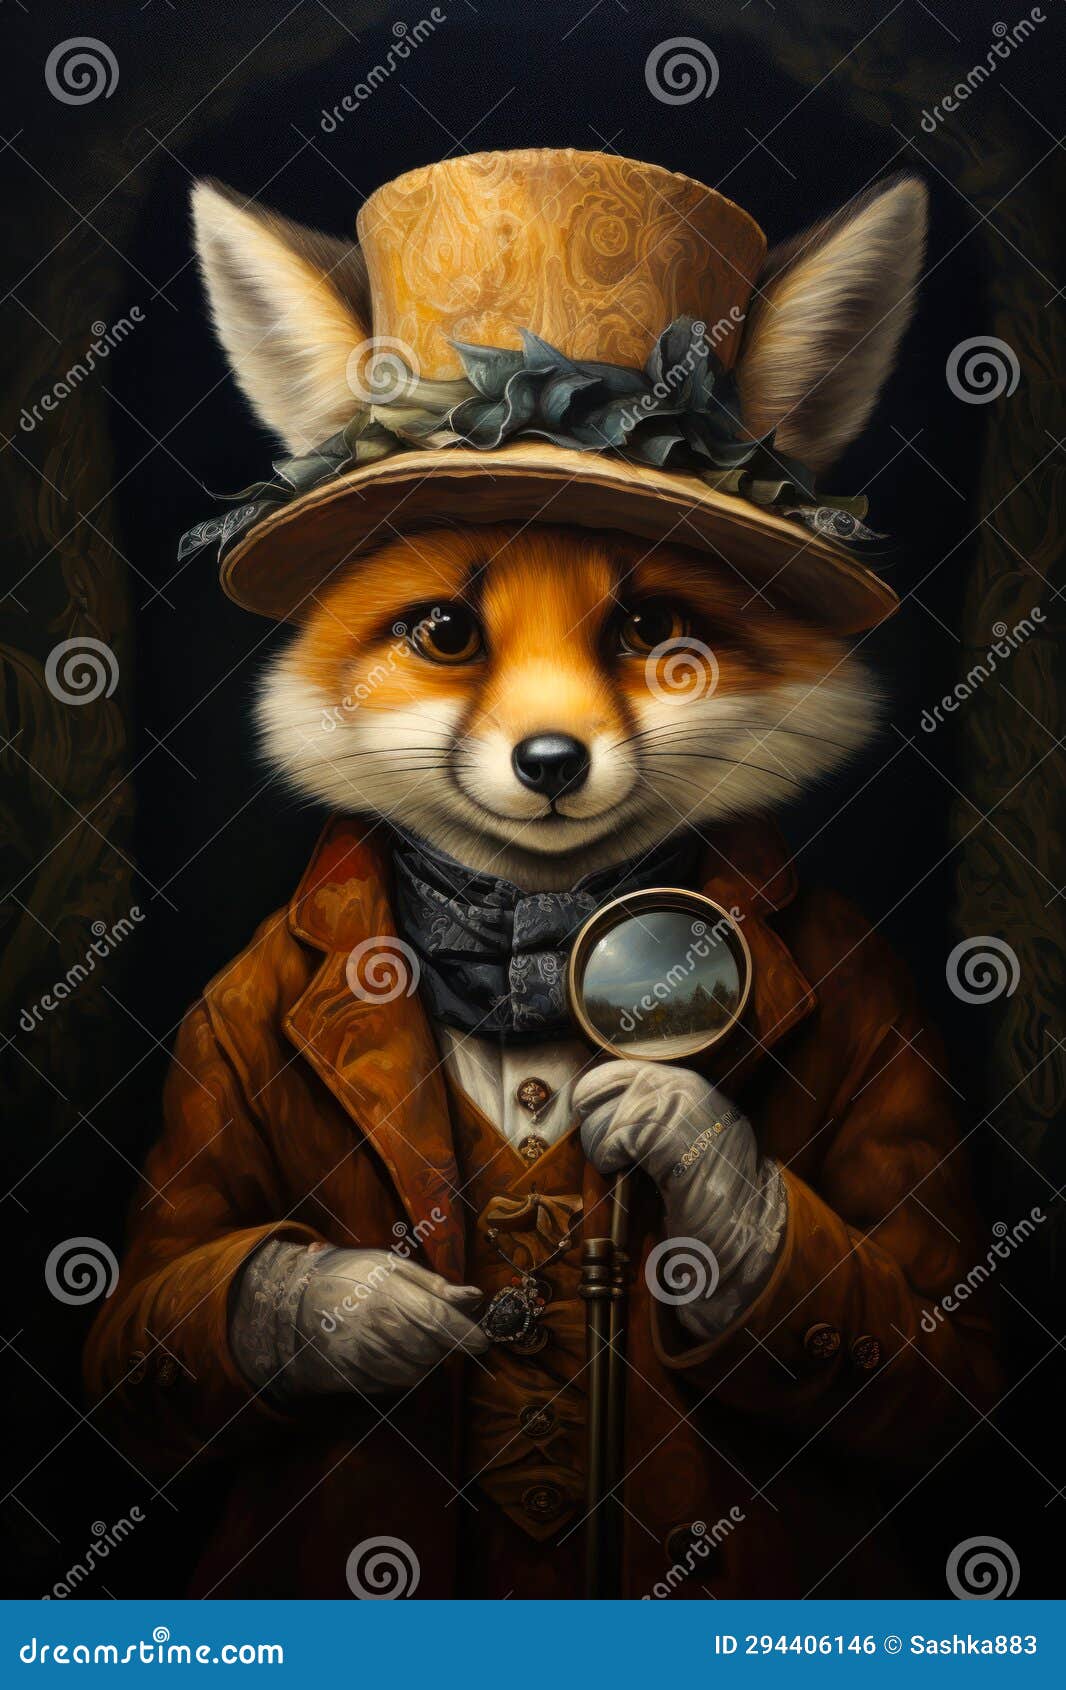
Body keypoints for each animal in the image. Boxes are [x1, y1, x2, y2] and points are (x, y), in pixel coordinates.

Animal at [86, 152, 997, 1600]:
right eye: (447, 631)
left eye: (650, 629)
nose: (553, 759)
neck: (521, 949)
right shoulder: (225, 1024)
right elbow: (152, 1312)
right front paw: (343, 1314)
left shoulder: (878, 1009)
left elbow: (926, 1328)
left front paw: (696, 1157)